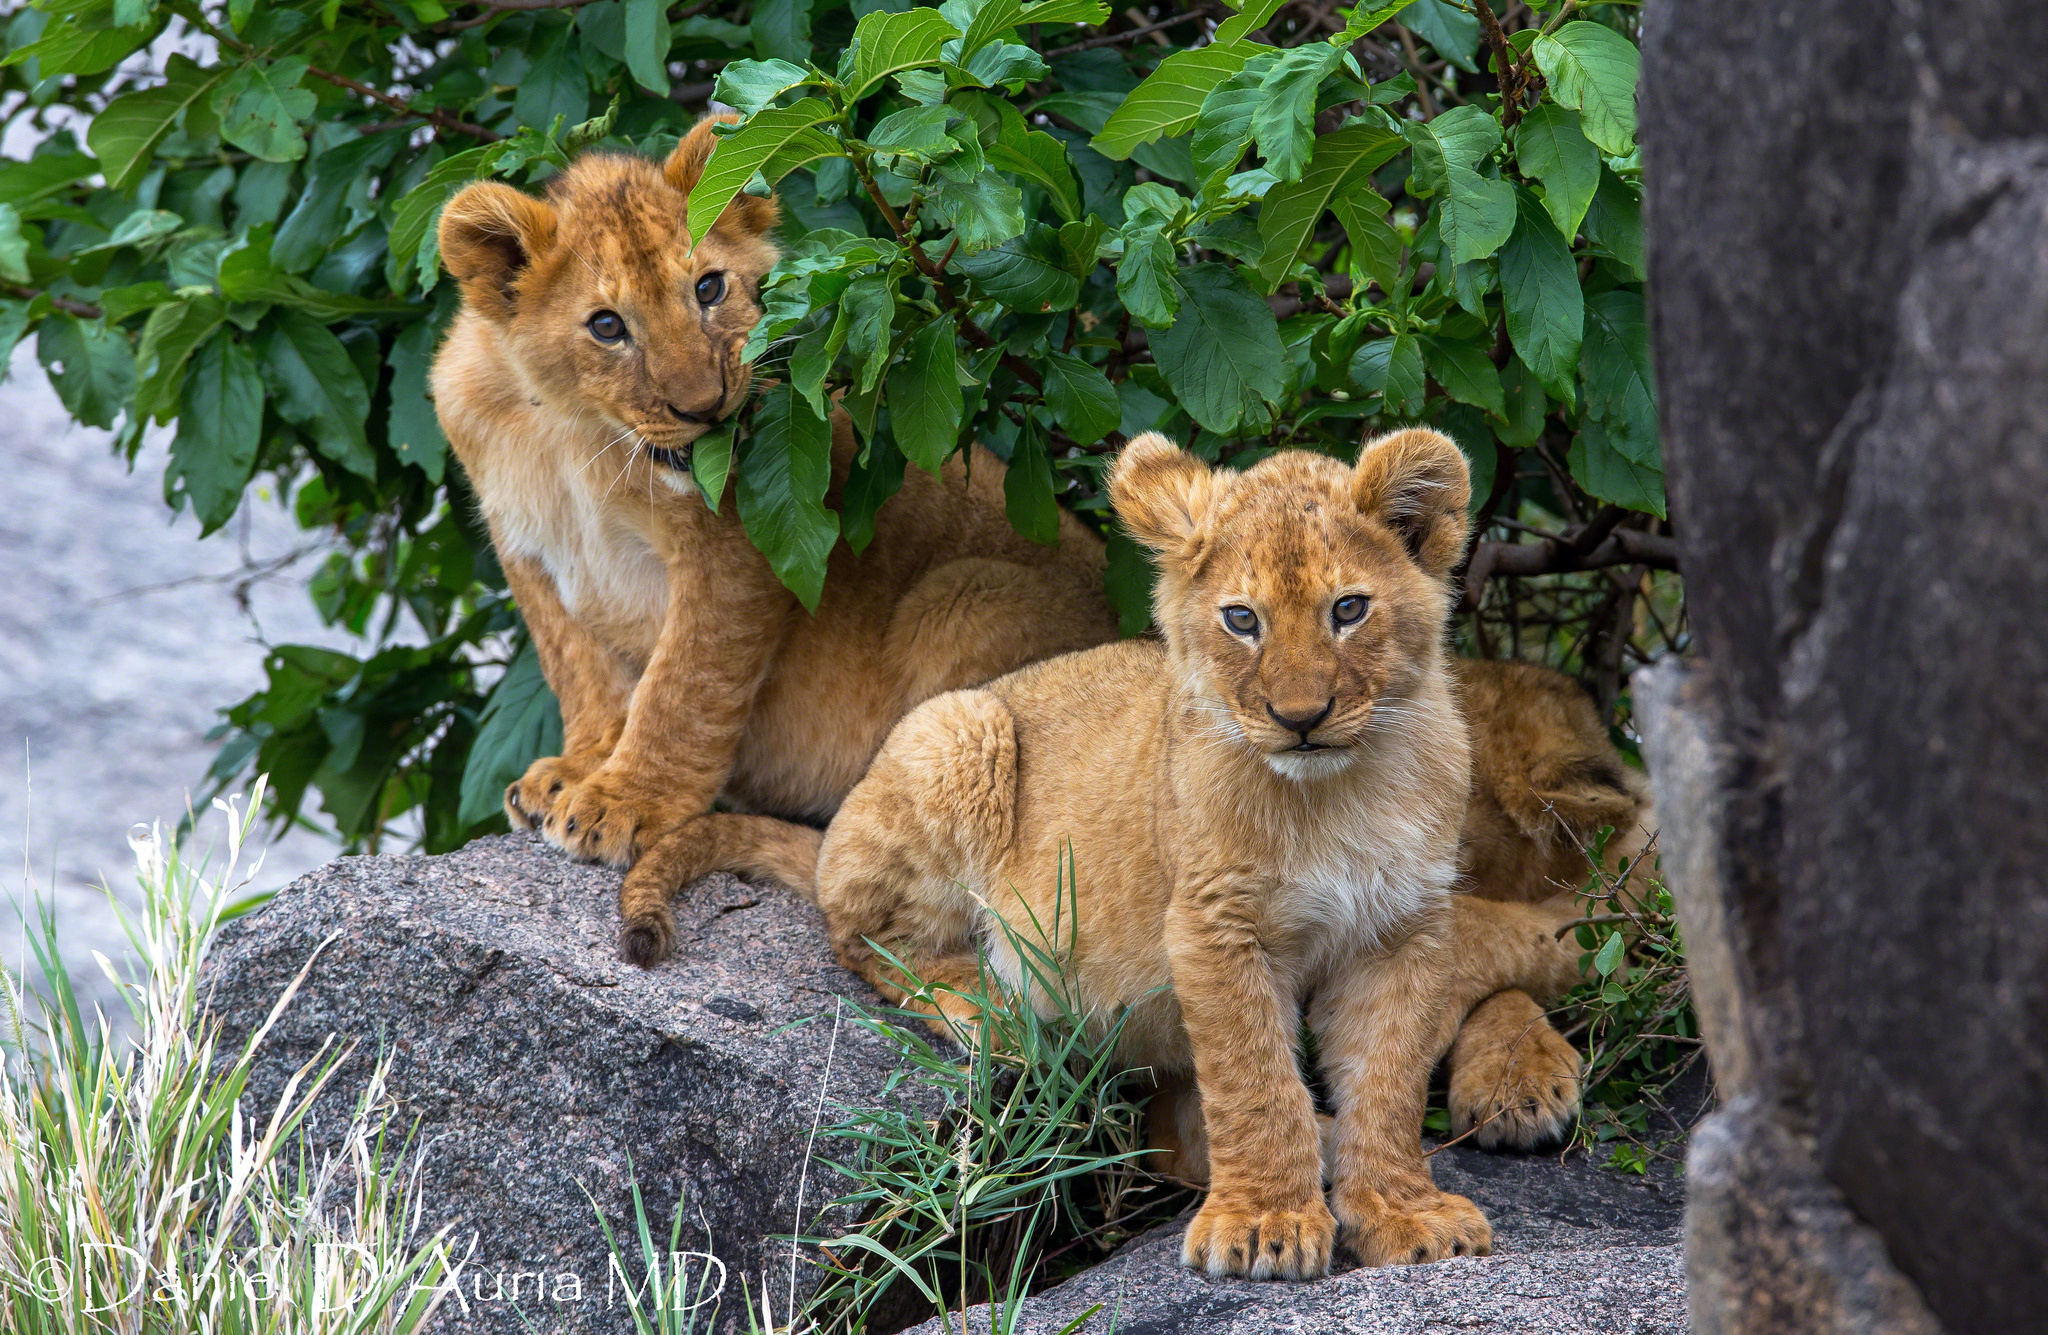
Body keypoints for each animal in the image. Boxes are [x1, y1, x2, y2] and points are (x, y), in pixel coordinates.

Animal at [429, 116, 1117, 965]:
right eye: (606, 326)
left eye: (708, 287)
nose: (704, 407)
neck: (577, 433)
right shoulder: (526, 547)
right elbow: (579, 667)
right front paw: (578, 768)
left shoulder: (733, 546)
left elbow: (682, 687)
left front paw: (624, 802)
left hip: (960, 602)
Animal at [814, 429, 1496, 1278]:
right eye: (1241, 618)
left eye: (1348, 609)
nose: (1300, 717)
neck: (1344, 789)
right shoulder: (1216, 923)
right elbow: (1256, 1079)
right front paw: (1264, 1224)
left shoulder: (1401, 929)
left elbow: (1390, 1079)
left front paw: (1403, 1212)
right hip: (962, 729)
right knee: (867, 937)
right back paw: (1001, 1006)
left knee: (1168, 1138)